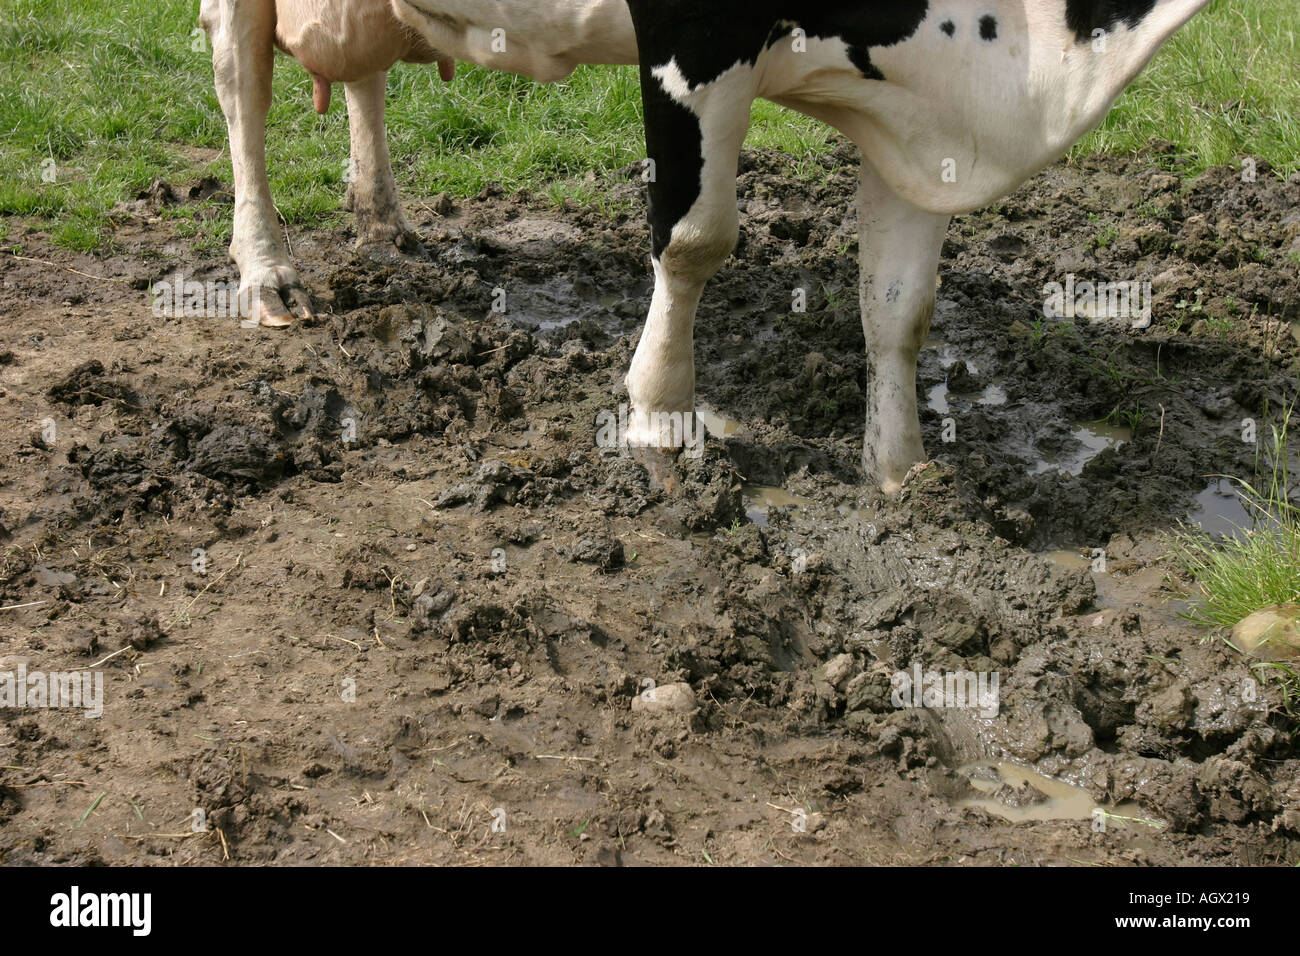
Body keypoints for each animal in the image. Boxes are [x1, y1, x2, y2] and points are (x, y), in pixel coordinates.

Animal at [199, 0, 1209, 492]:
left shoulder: (922, 116)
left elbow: (900, 305)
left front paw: (901, 475)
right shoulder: (697, 33)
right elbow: (695, 237)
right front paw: (661, 414)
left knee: (360, 67)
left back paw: (382, 217)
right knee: (239, 80)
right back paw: (268, 273)